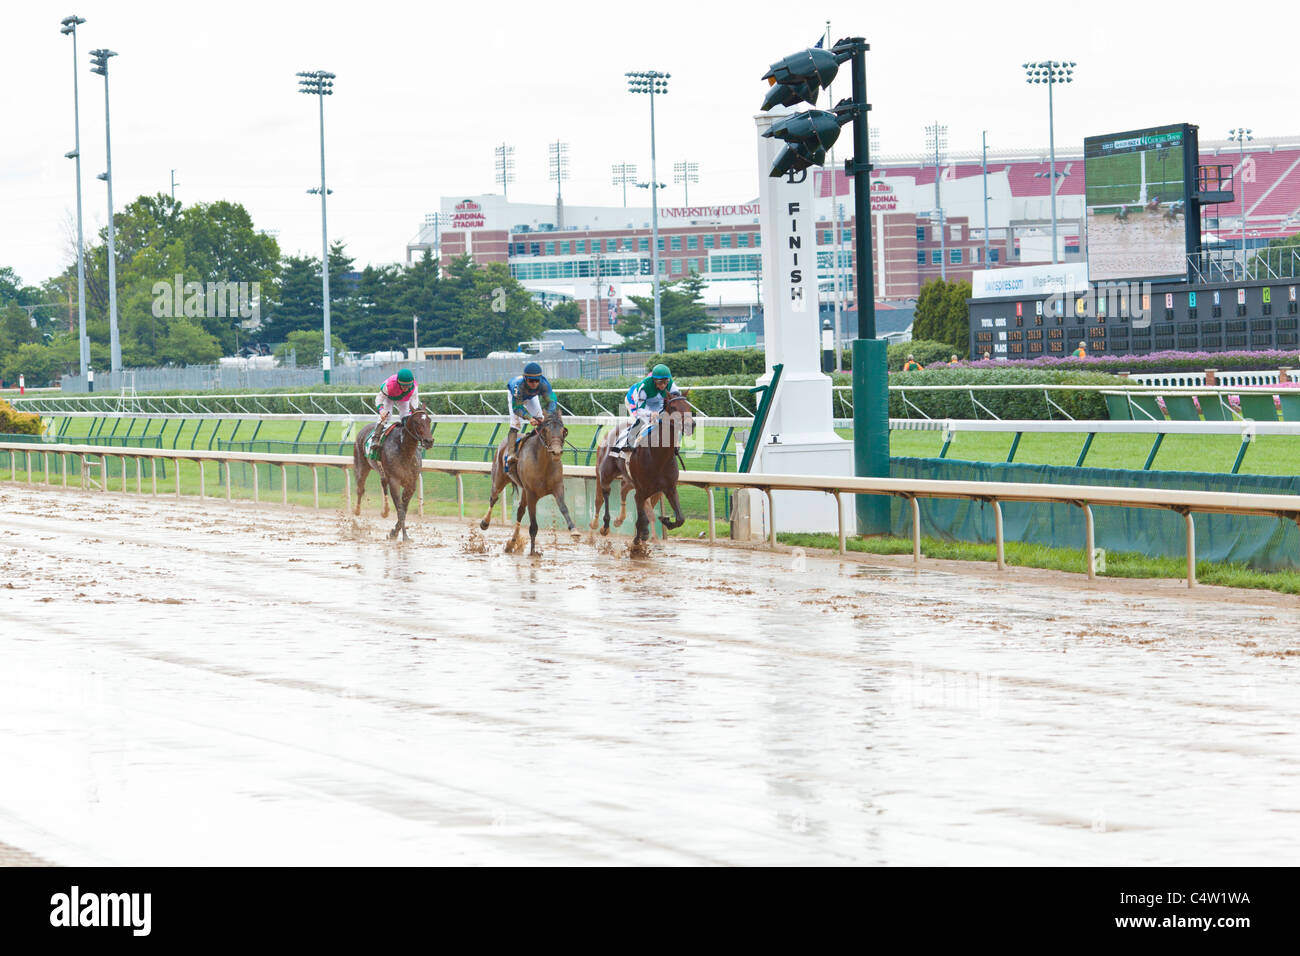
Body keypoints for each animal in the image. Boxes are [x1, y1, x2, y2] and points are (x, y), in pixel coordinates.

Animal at [352, 405, 434, 541]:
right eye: (417, 422)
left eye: (429, 420)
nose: (429, 441)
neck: (405, 451)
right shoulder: (394, 481)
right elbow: (400, 510)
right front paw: (403, 536)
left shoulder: (411, 483)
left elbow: (404, 509)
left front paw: (395, 532)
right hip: (361, 466)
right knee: (360, 488)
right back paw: (356, 512)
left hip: (382, 472)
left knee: (383, 484)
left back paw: (385, 511)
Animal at [479, 407, 580, 556]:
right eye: (545, 430)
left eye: (563, 431)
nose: (556, 452)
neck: (544, 464)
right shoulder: (532, 494)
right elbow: (533, 526)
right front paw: (533, 552)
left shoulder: (558, 487)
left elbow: (564, 508)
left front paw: (574, 530)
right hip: (499, 479)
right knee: (493, 498)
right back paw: (485, 522)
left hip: (524, 491)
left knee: (520, 511)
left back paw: (512, 543)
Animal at [590, 392, 694, 552]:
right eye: (673, 407)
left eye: (688, 406)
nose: (691, 424)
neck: (659, 457)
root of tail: (609, 433)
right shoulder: (641, 492)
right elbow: (642, 518)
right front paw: (640, 539)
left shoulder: (669, 488)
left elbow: (680, 519)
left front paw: (665, 520)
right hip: (605, 473)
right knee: (604, 493)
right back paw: (604, 526)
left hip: (629, 479)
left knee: (623, 488)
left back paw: (619, 520)